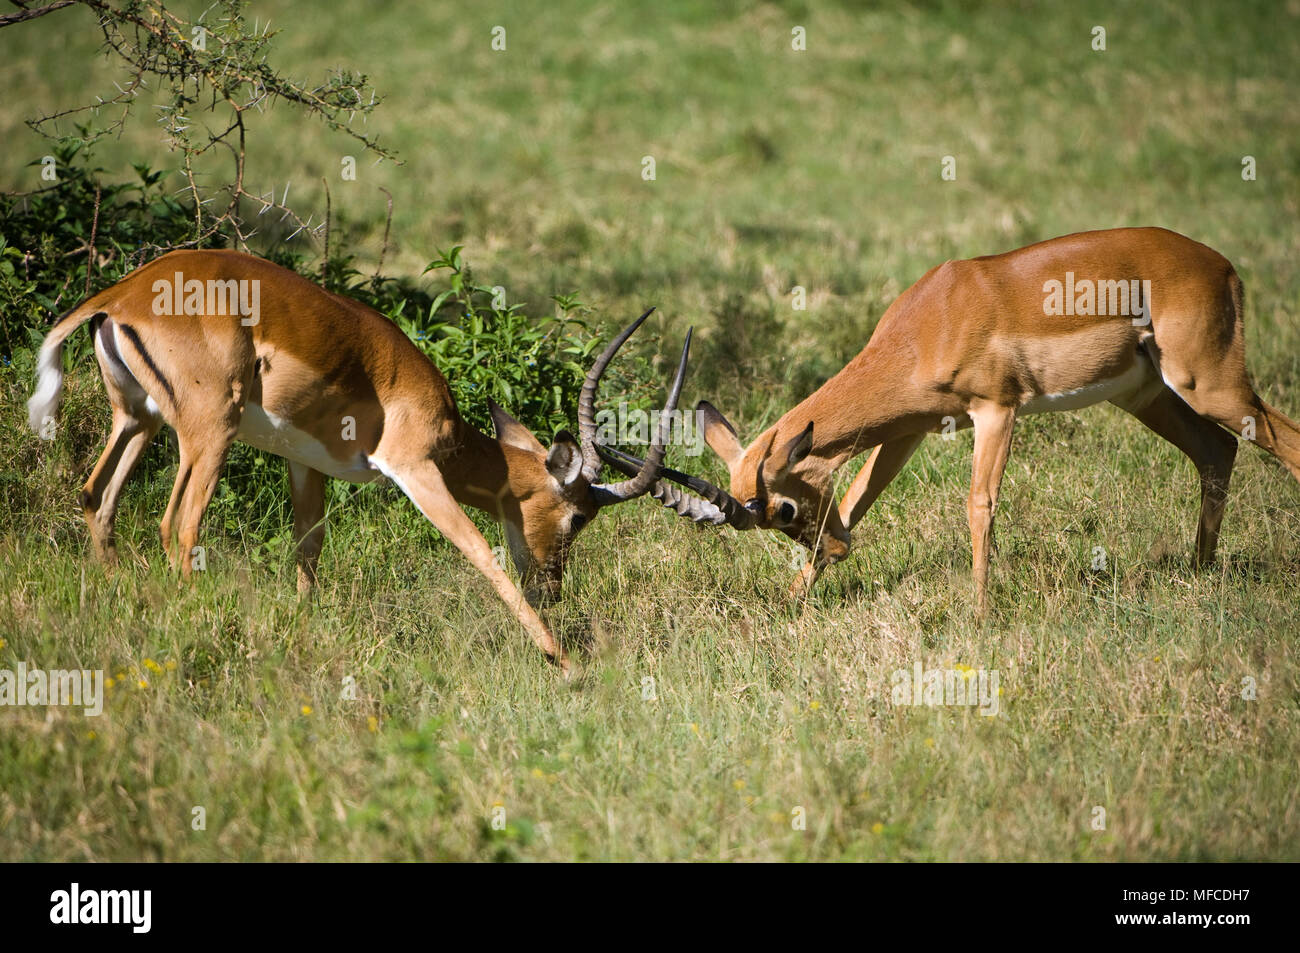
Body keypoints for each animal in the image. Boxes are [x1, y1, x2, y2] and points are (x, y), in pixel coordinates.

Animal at [25, 249, 723, 674]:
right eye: (577, 517)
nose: (551, 586)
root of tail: (120, 297)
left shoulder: (304, 461)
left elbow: (307, 550)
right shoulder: (415, 470)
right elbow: (480, 553)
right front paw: (564, 663)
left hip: (138, 419)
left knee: (97, 497)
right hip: (208, 431)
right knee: (177, 526)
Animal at [608, 228, 1300, 610]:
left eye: (782, 508)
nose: (832, 547)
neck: (930, 320)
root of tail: (1222, 265)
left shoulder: (996, 410)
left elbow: (979, 504)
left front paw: (980, 613)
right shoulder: (909, 429)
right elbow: (858, 498)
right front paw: (793, 601)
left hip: (1210, 383)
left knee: (1282, 441)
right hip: (1149, 394)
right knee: (1218, 451)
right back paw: (1201, 574)